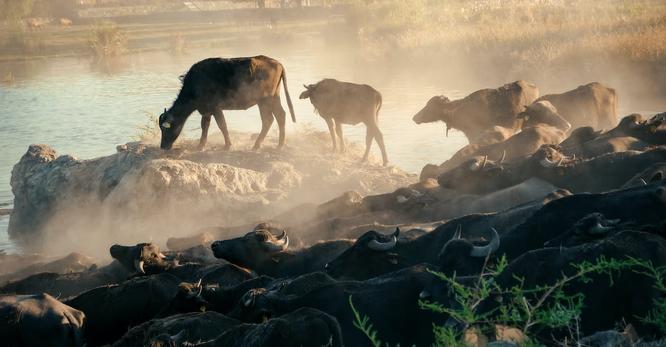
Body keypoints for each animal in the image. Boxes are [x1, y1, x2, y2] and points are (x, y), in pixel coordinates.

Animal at [158, 55, 294, 151]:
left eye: (165, 129)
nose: (163, 146)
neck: (194, 86)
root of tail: (277, 63)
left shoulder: (215, 108)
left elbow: (222, 125)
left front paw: (227, 145)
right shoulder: (206, 111)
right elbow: (205, 126)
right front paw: (200, 146)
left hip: (265, 101)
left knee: (268, 120)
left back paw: (257, 145)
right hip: (274, 98)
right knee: (280, 116)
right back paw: (279, 145)